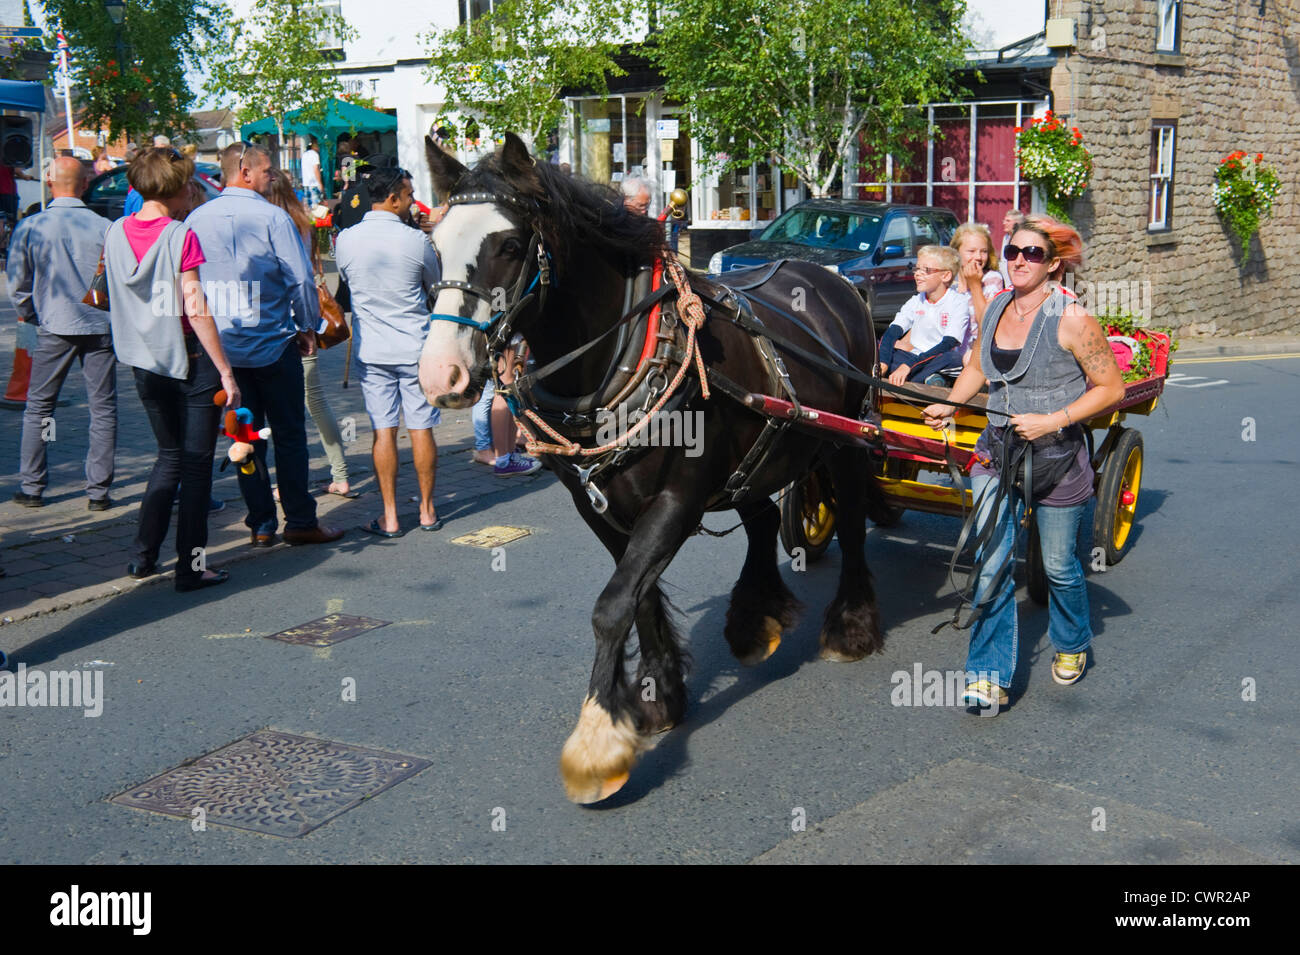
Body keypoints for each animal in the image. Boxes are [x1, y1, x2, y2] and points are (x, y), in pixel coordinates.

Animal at [420, 133, 891, 804]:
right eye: (434, 243)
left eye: (509, 246)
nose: (443, 375)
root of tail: (833, 280)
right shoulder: (597, 505)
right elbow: (635, 597)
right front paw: (657, 695)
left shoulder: (676, 501)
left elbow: (612, 604)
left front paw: (596, 745)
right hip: (757, 450)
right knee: (760, 521)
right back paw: (754, 618)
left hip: (847, 441)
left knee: (849, 524)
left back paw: (850, 626)